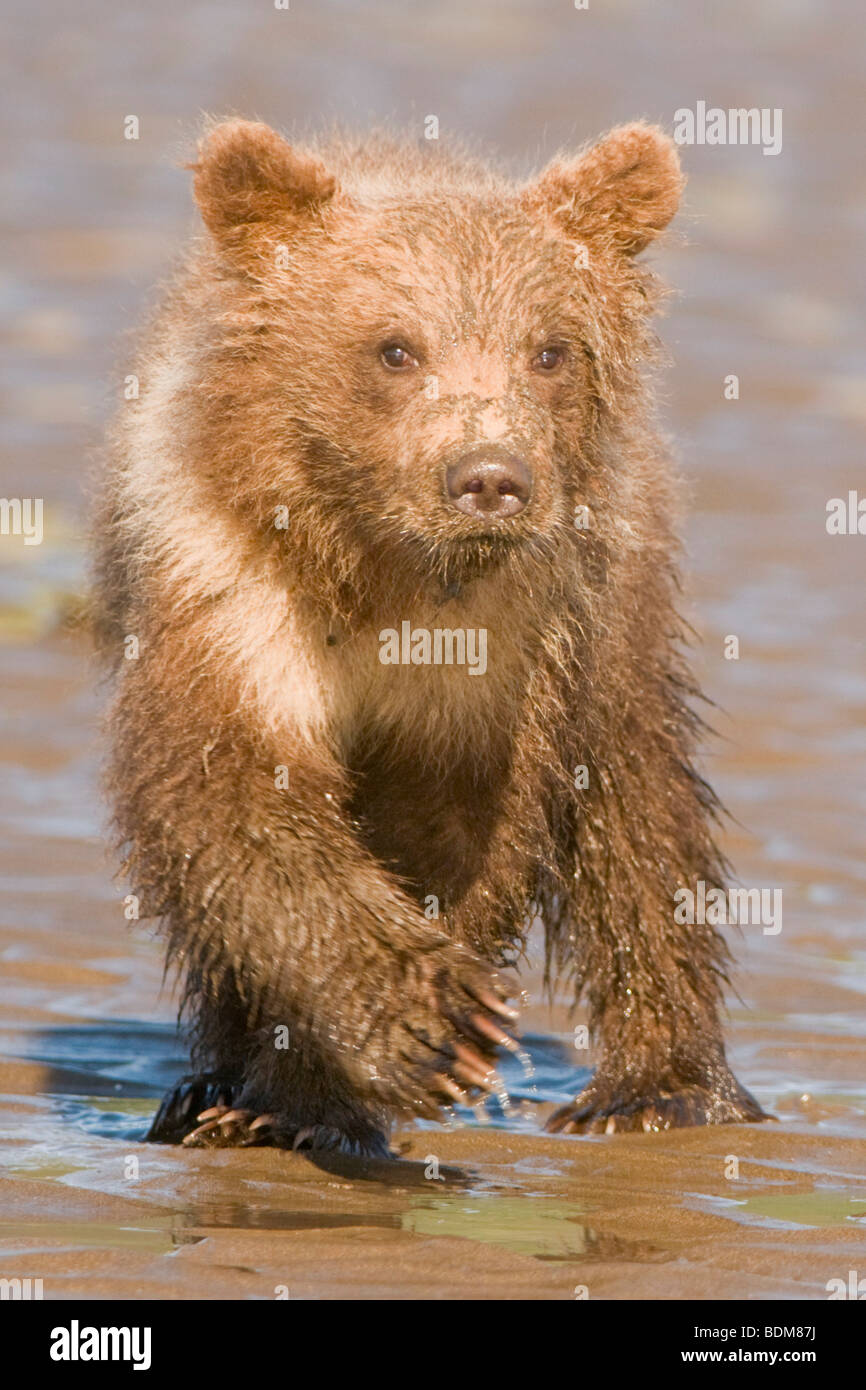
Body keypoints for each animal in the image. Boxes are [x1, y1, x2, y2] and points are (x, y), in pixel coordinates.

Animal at [93, 118, 767, 1155]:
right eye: (395, 348)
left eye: (550, 350)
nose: (488, 477)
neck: (386, 574)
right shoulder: (231, 589)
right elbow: (232, 799)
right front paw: (411, 1032)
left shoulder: (512, 650)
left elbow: (465, 828)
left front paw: (321, 1091)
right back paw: (201, 1089)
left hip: (616, 609)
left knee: (638, 810)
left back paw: (661, 1089)